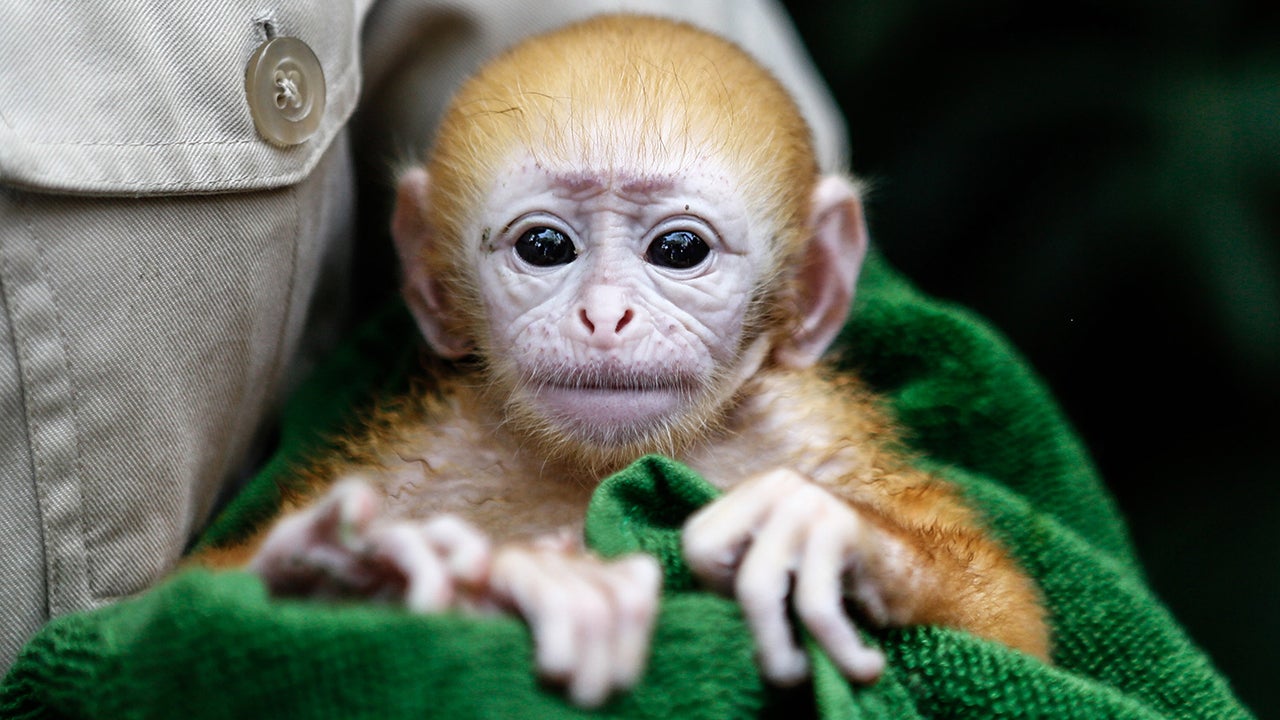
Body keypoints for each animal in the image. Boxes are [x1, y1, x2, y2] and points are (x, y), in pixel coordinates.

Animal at [197, 14, 1050, 708]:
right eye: (546, 246)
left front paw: (835, 537)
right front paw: (344, 566)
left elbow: (1019, 641)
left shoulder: (809, 435)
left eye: (679, 250)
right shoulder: (421, 462)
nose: (605, 315)